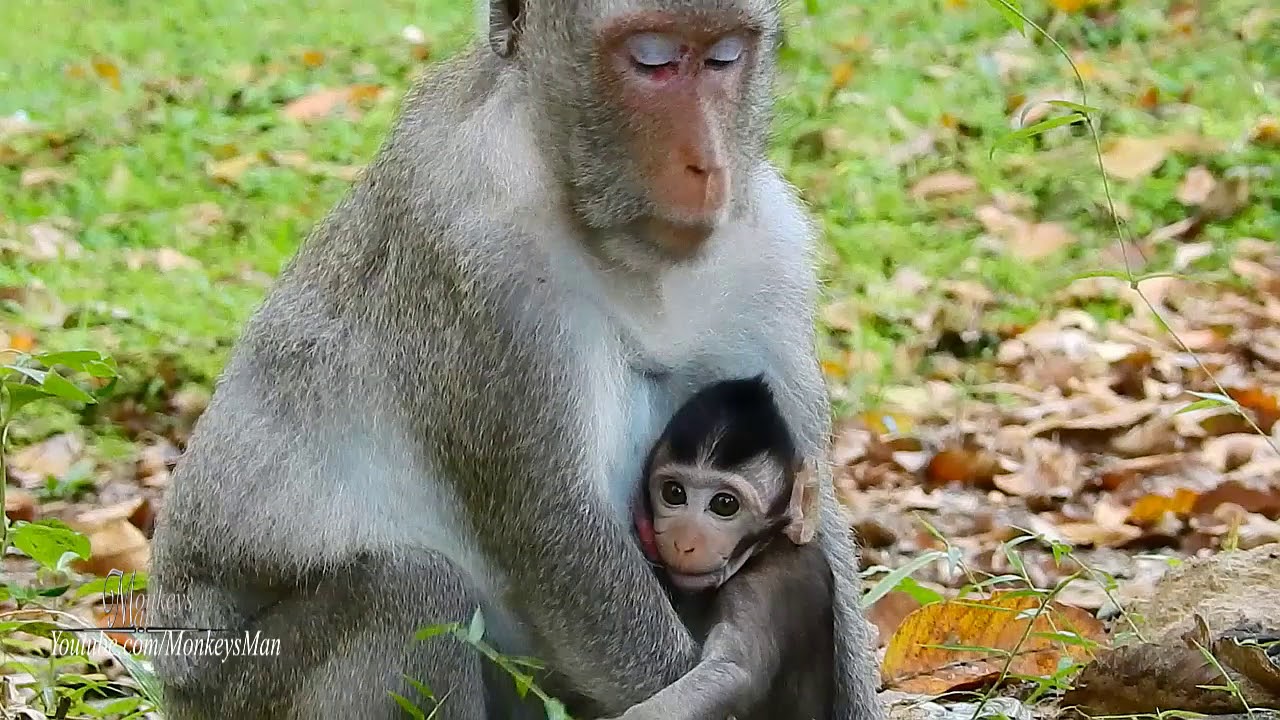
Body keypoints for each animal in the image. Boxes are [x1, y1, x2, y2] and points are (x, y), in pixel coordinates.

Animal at [619, 375, 834, 720]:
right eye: (674, 493)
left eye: (724, 504)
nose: (684, 542)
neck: (765, 547)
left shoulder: (765, 588)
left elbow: (734, 670)